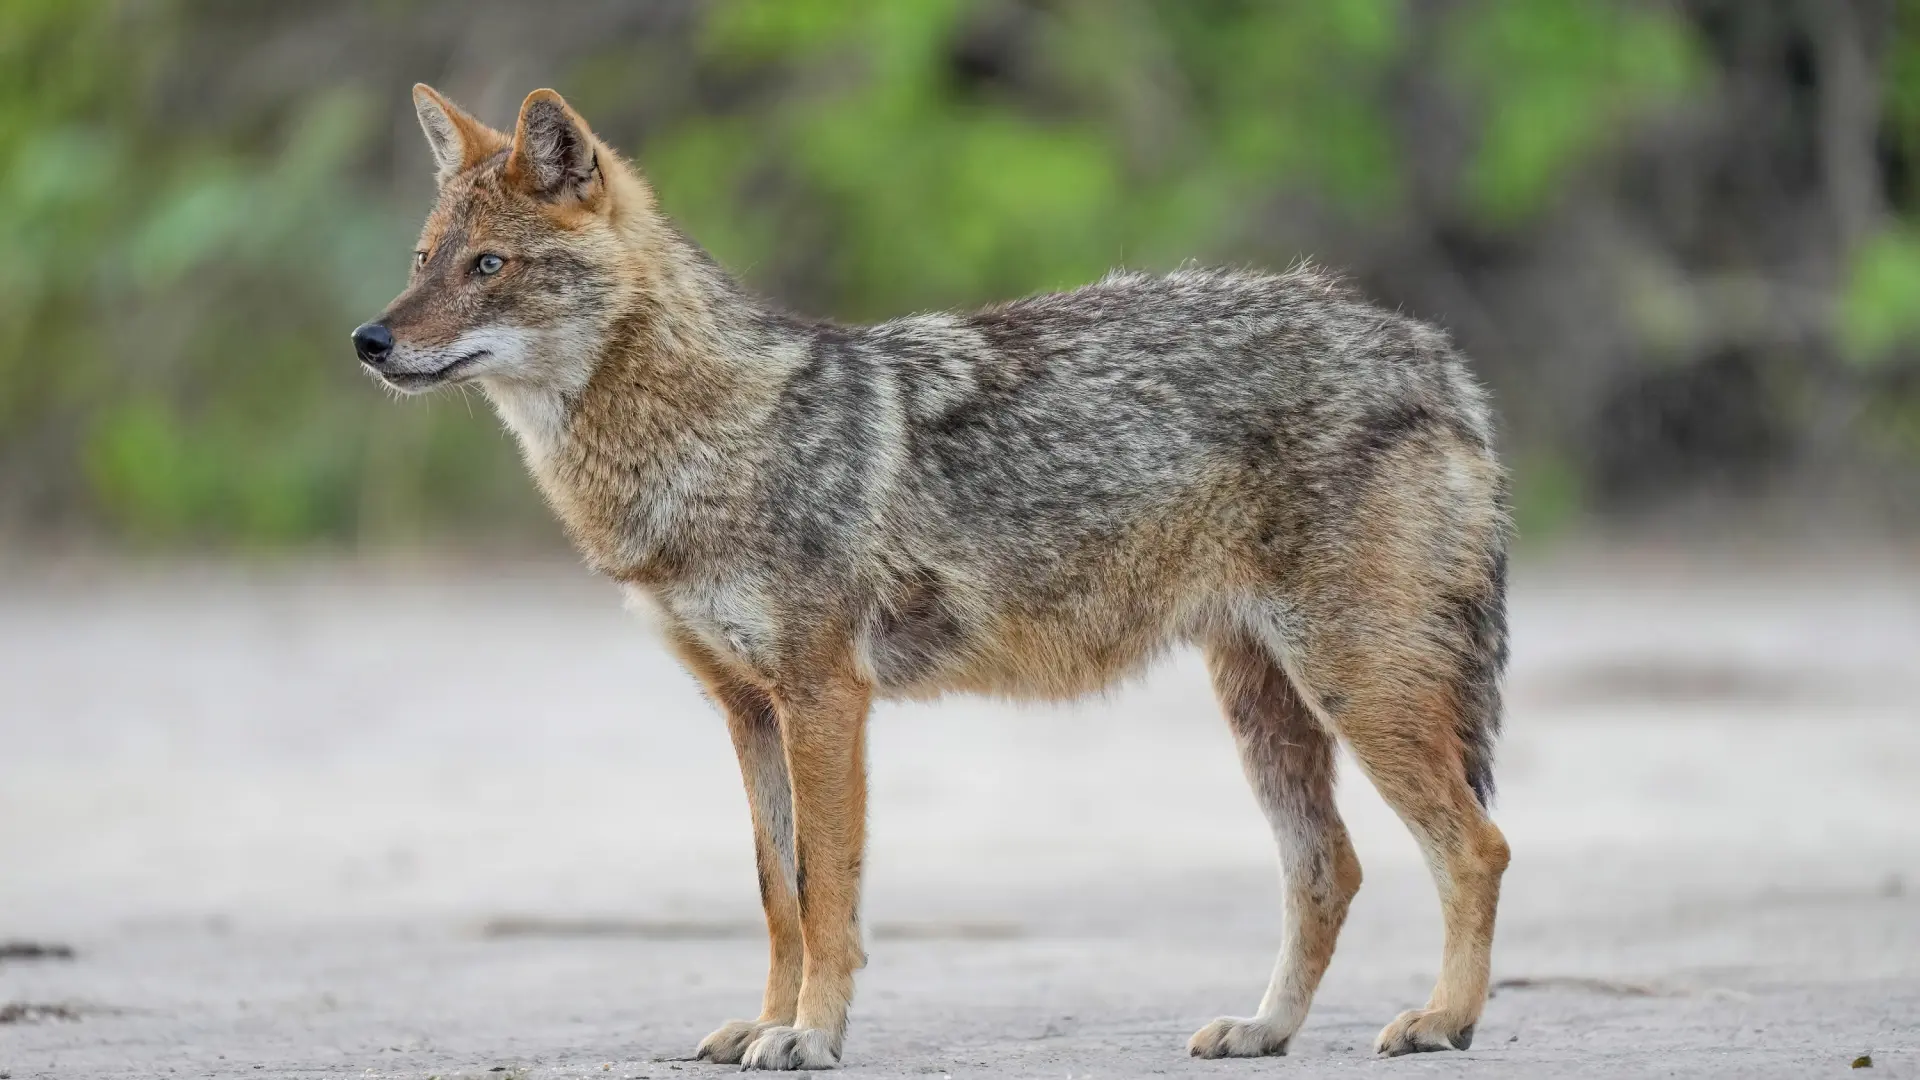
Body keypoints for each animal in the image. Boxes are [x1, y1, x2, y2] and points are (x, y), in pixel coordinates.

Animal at [354, 85, 1512, 1070]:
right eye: (422, 259)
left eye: (488, 267)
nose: (367, 340)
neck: (710, 441)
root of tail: (1426, 348)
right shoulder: (746, 710)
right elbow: (779, 892)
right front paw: (767, 1025)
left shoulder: (825, 699)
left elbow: (827, 895)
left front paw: (810, 1036)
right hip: (1266, 708)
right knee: (1331, 869)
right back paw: (1266, 1030)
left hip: (1358, 692)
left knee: (1478, 848)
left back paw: (1443, 1020)